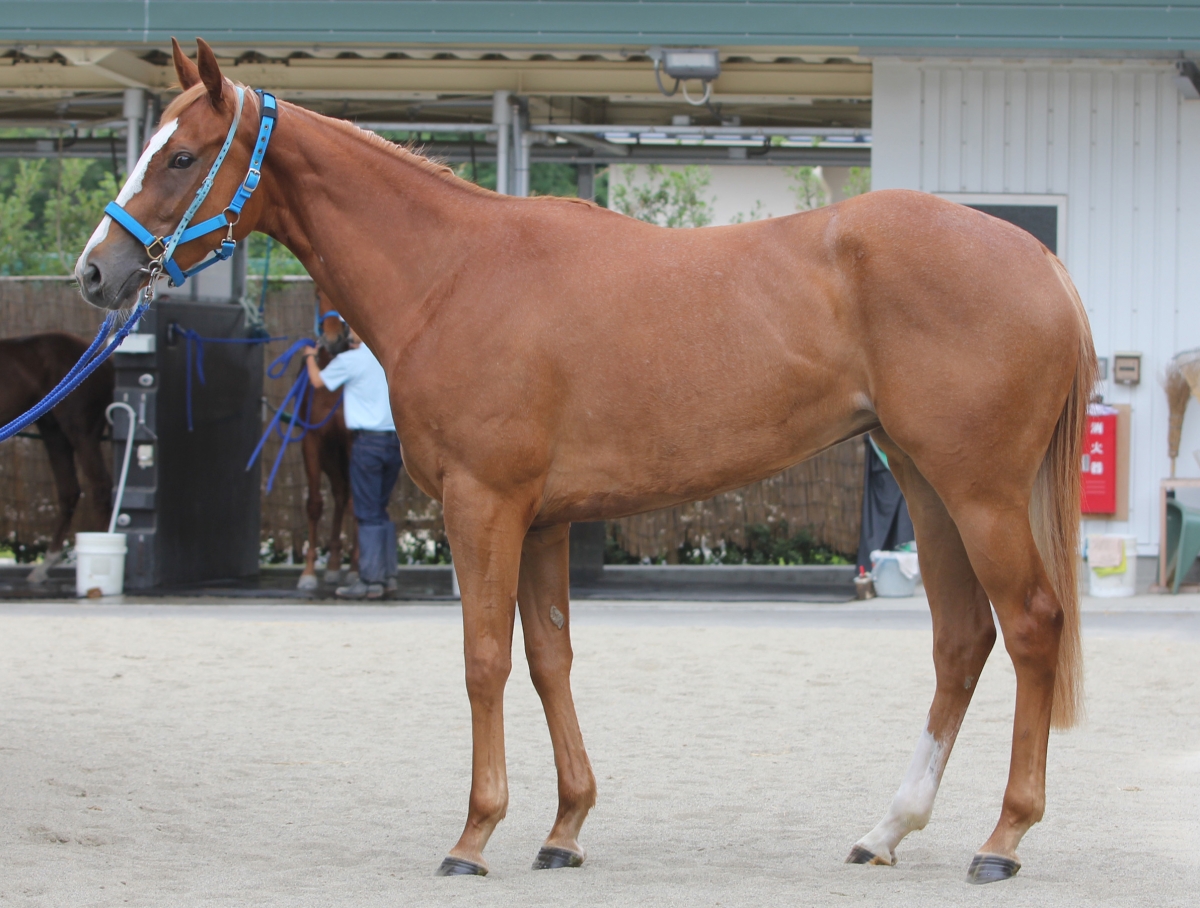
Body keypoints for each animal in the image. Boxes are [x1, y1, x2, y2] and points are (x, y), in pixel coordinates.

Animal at [74, 38, 1097, 884]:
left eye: (181, 156)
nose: (94, 272)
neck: (455, 273)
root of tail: (1040, 262)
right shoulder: (544, 520)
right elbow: (549, 659)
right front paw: (564, 830)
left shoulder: (484, 505)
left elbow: (484, 658)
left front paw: (474, 835)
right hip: (927, 484)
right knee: (961, 640)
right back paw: (887, 830)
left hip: (980, 491)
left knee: (1031, 626)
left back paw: (1003, 839)